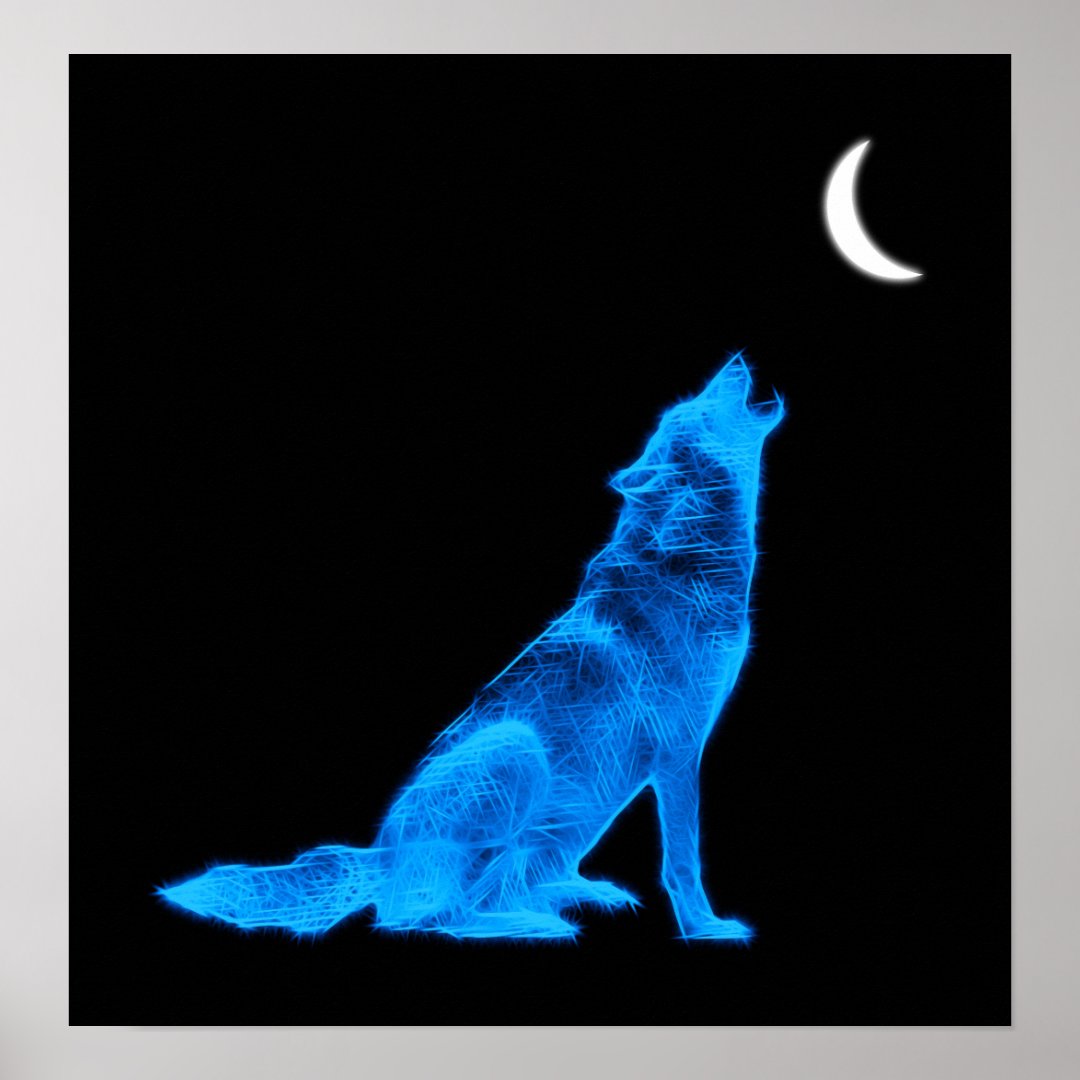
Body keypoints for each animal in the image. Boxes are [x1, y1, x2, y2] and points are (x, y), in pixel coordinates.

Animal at [159, 355, 783, 940]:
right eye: (692, 413)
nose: (735, 360)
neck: (690, 557)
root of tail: (383, 858)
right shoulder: (680, 752)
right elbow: (683, 859)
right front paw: (705, 929)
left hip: (574, 809)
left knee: (508, 884)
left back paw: (574, 897)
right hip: (519, 750)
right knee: (430, 916)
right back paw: (534, 924)